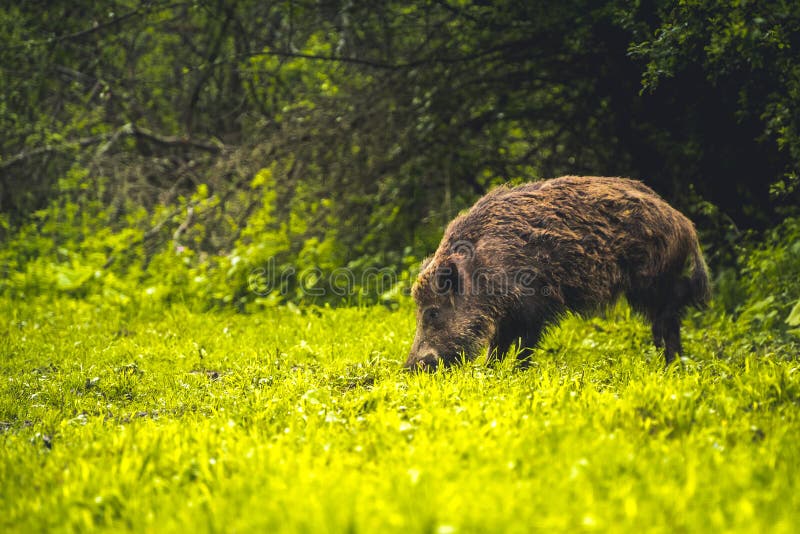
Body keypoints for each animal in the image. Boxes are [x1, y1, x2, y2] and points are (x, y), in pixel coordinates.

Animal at [405, 176, 710, 370]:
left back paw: (672, 363)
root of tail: (685, 224)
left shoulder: (536, 304)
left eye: (432, 312)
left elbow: (523, 345)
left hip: (654, 281)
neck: (485, 267)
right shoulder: (508, 311)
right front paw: (490, 371)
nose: (411, 367)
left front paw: (516, 373)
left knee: (673, 310)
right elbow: (498, 345)